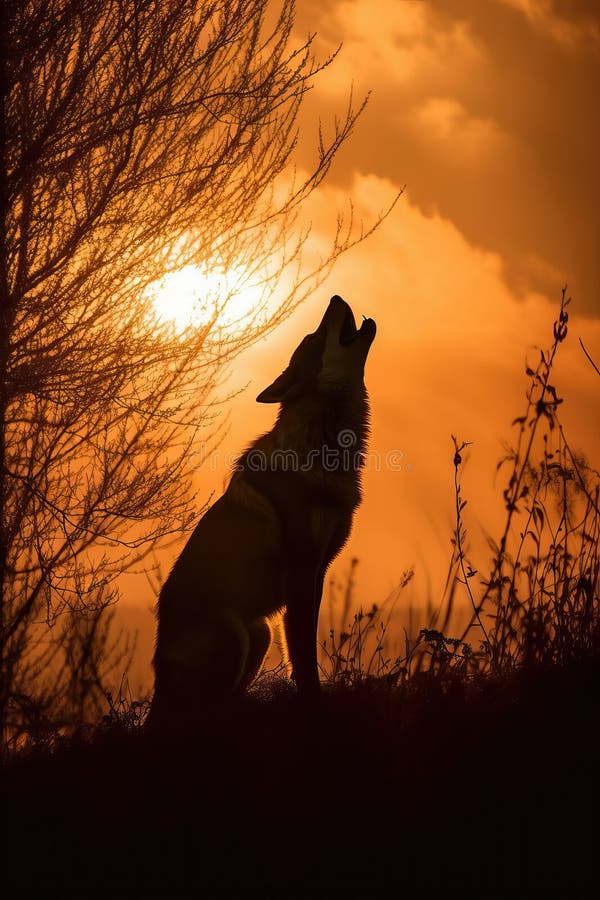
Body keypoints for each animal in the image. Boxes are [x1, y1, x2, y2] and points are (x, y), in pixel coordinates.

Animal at [150, 295, 376, 720]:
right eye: (313, 338)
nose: (335, 297)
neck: (322, 447)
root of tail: (158, 677)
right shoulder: (302, 572)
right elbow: (303, 655)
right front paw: (313, 704)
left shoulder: (318, 571)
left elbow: (303, 647)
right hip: (235, 633)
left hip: (259, 633)